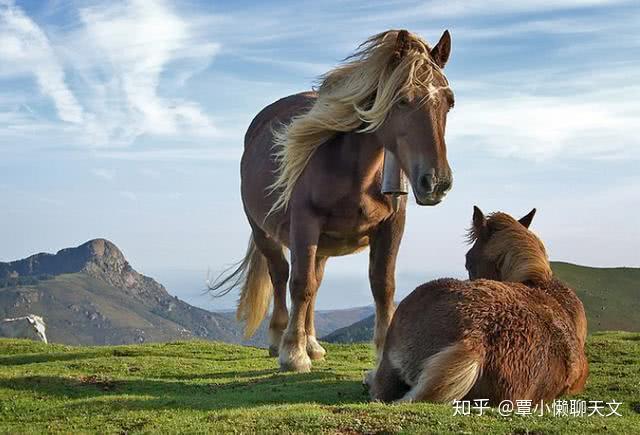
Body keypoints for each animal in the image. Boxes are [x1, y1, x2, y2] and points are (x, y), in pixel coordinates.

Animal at [210, 29, 456, 372]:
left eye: (449, 102)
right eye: (403, 100)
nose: (436, 182)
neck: (354, 171)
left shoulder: (392, 226)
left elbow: (383, 286)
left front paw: (382, 354)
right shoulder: (304, 224)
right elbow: (299, 284)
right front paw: (293, 354)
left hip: (324, 245)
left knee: (316, 282)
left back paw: (312, 343)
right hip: (264, 232)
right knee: (281, 275)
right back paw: (279, 338)